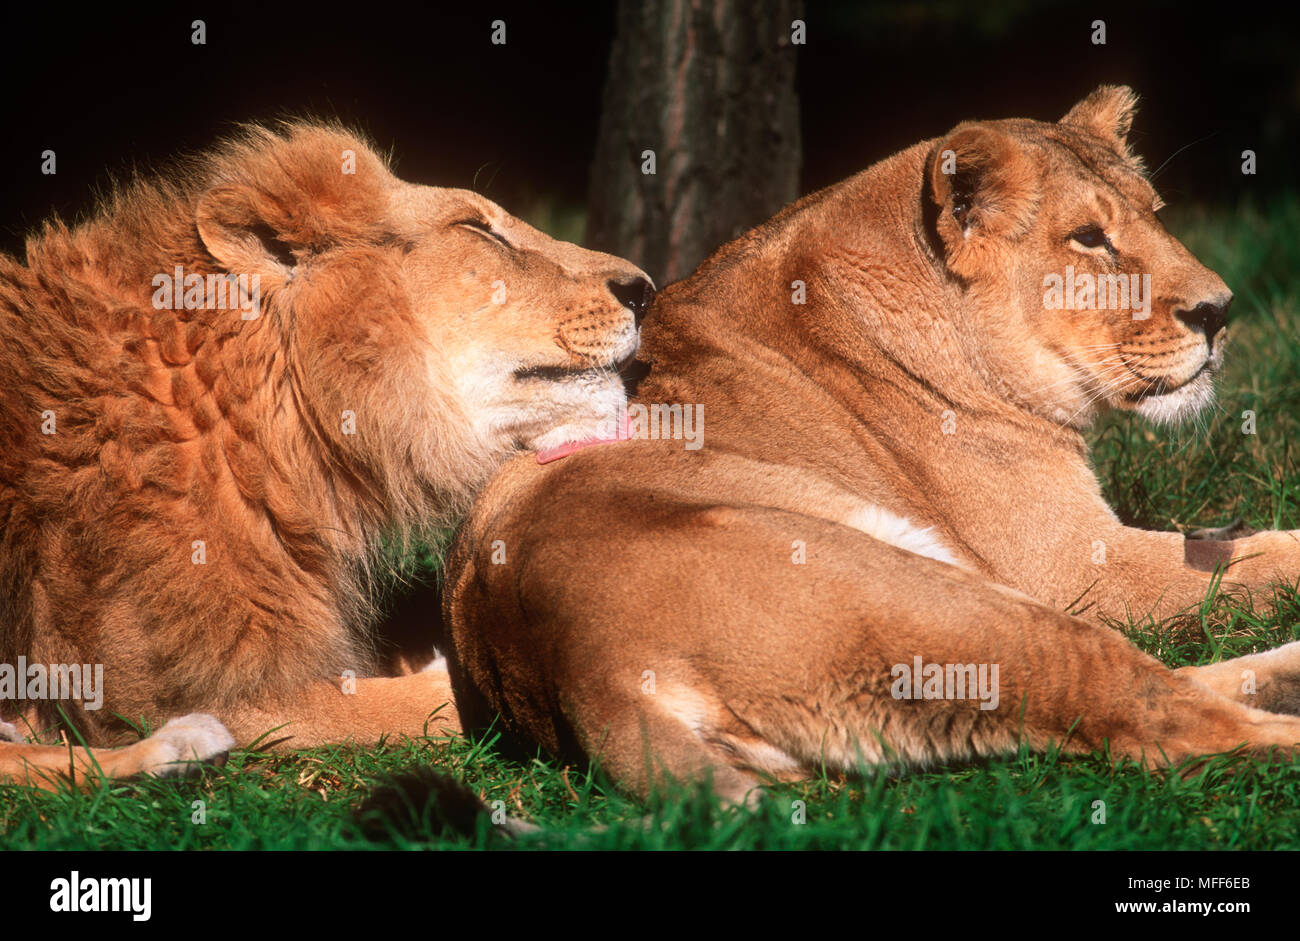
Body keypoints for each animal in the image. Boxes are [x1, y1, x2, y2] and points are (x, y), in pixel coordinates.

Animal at [442, 87, 1300, 806]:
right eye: (1089, 238)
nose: (1221, 311)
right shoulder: (1079, 566)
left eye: (1157, 213)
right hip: (952, 598)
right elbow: (1270, 557)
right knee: (1162, 719)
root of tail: (585, 672)